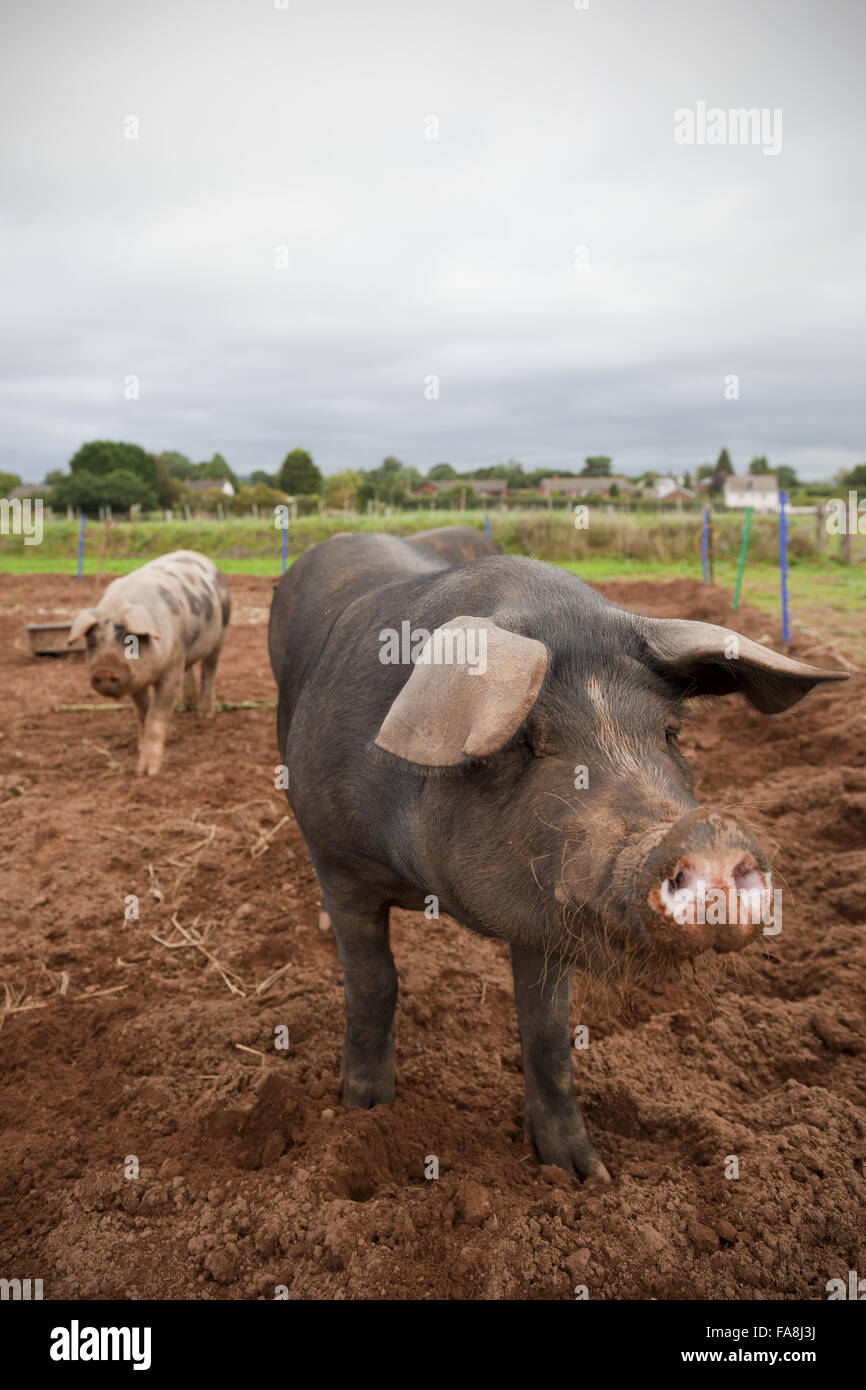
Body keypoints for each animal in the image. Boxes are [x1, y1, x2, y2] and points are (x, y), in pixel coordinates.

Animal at [68, 549, 230, 776]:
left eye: (130, 641)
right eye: (91, 642)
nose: (104, 671)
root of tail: (201, 556)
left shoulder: (171, 671)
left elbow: (156, 717)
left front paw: (147, 773)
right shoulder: (135, 680)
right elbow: (143, 713)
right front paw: (139, 748)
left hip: (222, 631)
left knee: (209, 669)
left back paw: (205, 715)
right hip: (188, 649)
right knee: (190, 668)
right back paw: (188, 704)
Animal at [268, 529, 847, 1179]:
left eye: (670, 734)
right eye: (525, 742)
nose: (709, 839)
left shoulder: (546, 912)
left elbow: (546, 1029)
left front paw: (582, 1174)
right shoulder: (340, 862)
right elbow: (374, 983)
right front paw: (363, 1112)